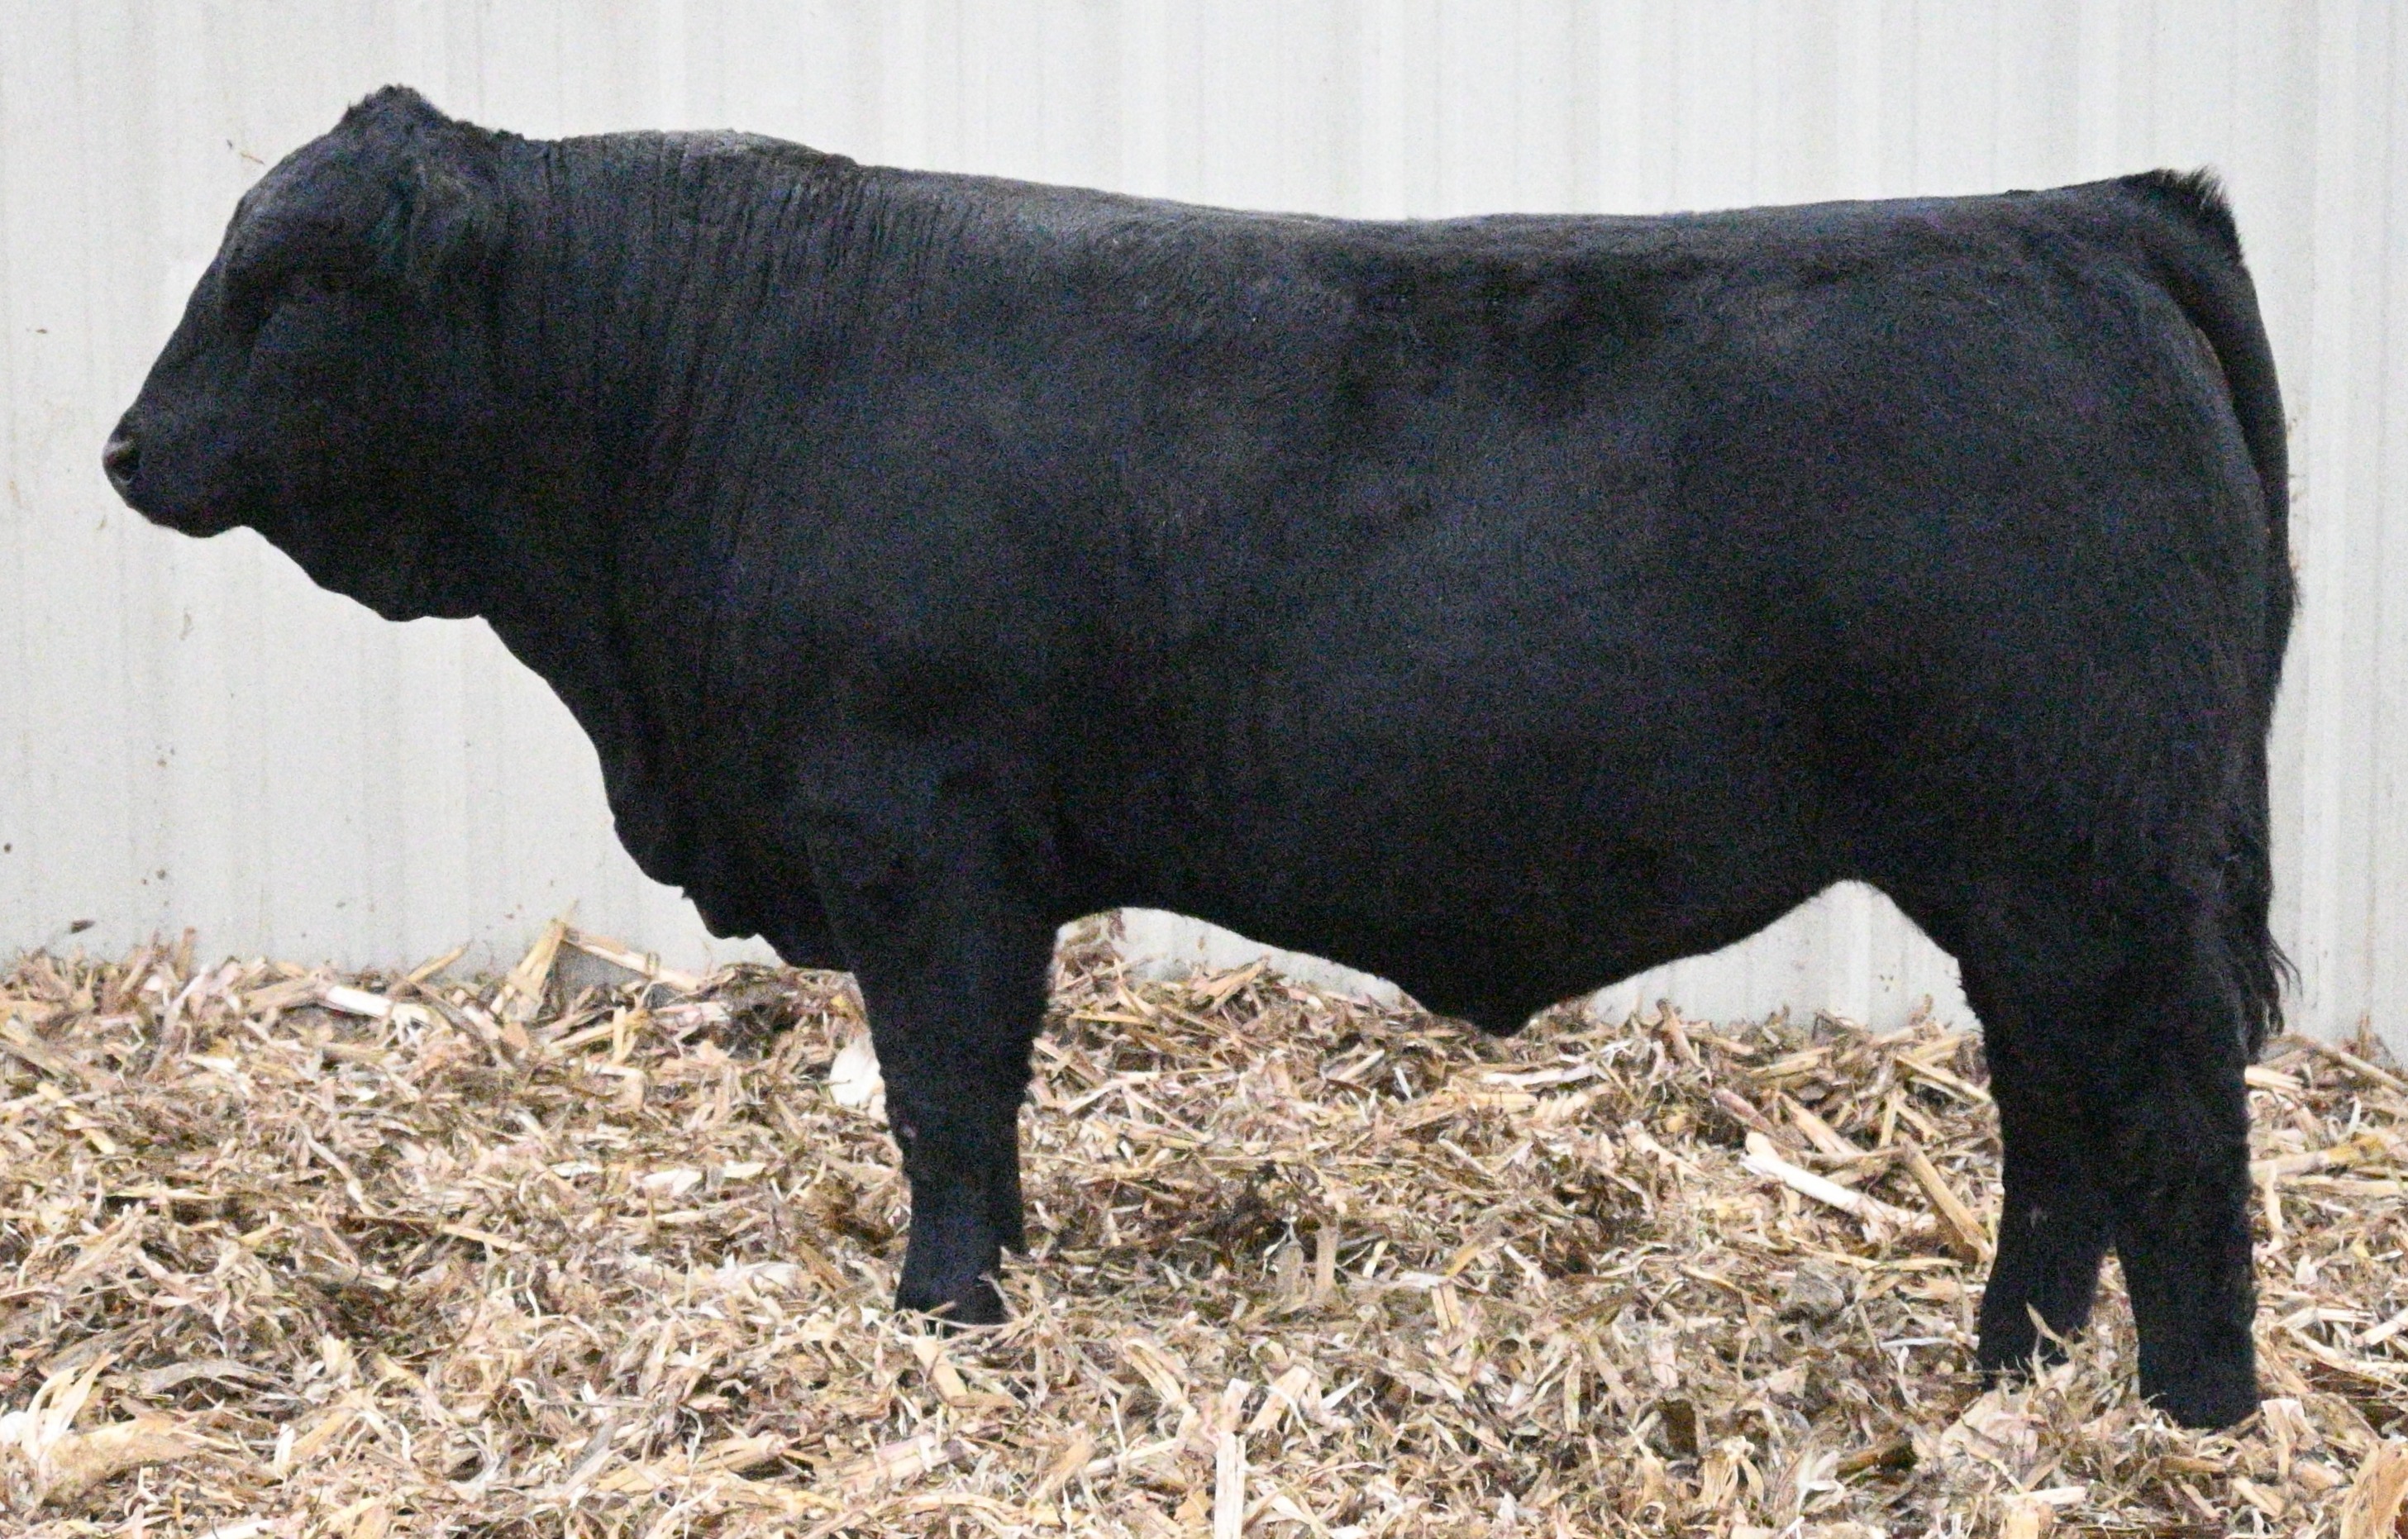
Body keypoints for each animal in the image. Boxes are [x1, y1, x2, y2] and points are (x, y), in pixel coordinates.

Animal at [105, 87, 2292, 1428]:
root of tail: (2090, 218)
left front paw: (945, 1314)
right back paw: (2008, 1369)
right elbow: (975, 1100)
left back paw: (2186, 1420)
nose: (126, 447)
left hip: (2086, 859)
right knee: (2056, 1116)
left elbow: (943, 1094)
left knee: (2166, 1115)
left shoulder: (918, 833)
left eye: (284, 276)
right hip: (2025, 877)